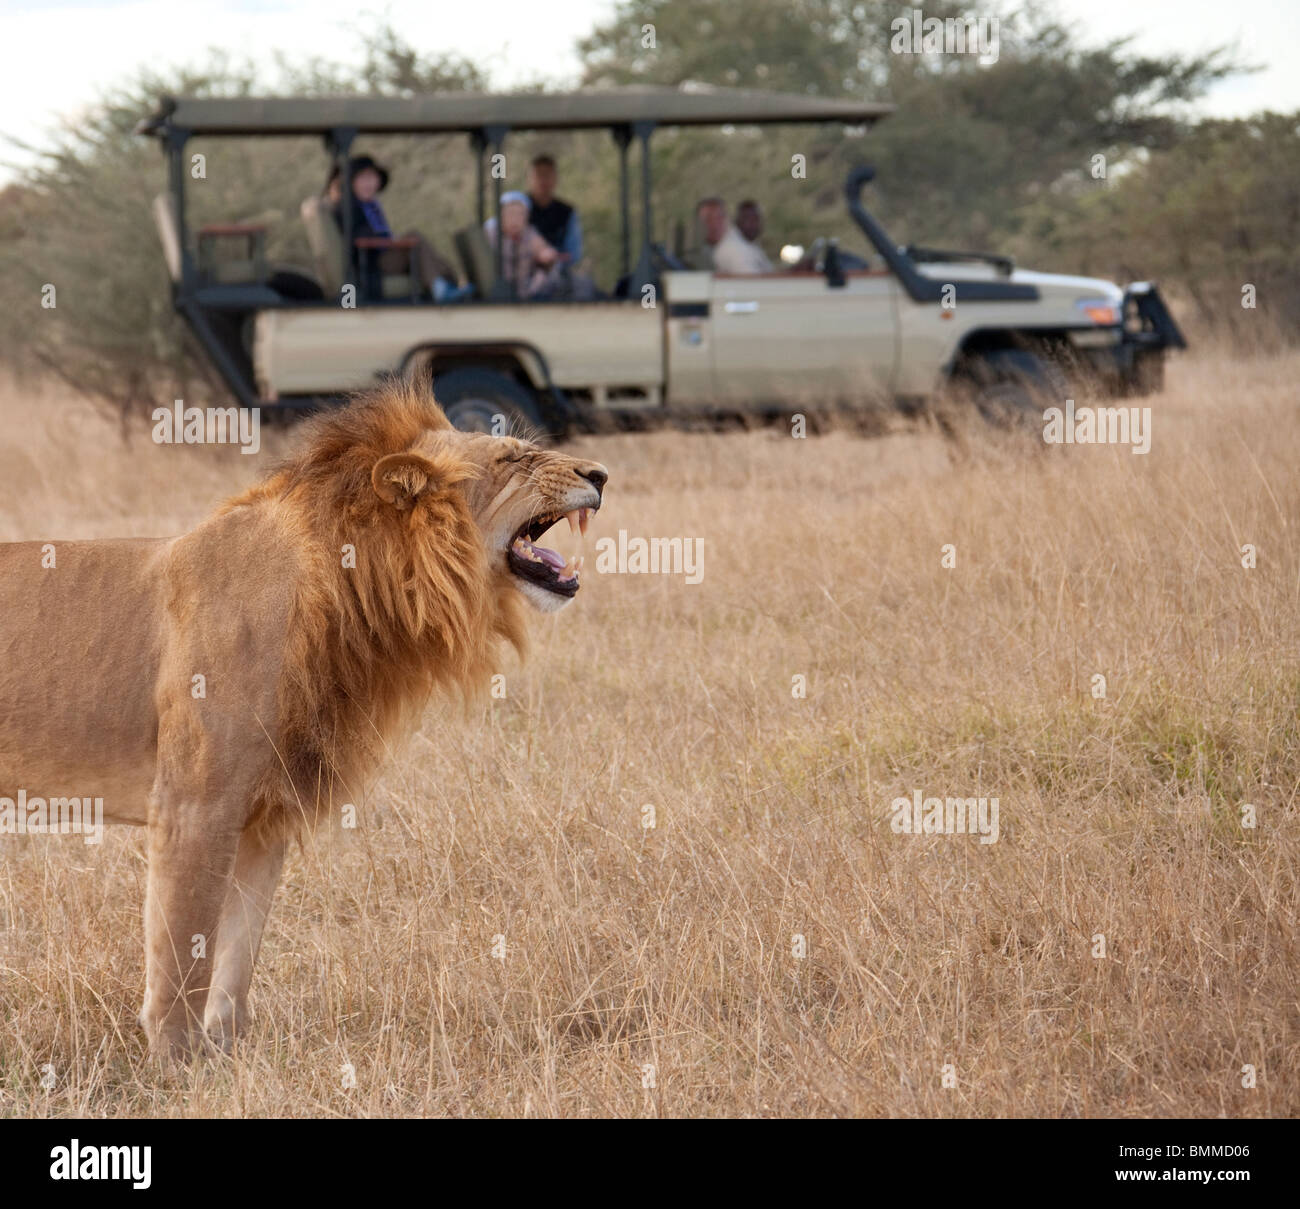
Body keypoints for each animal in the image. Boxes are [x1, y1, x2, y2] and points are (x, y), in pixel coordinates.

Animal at [0, 381, 608, 1060]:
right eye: (512, 458)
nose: (601, 474)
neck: (351, 591)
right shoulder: (193, 805)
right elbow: (183, 950)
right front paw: (174, 1060)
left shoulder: (264, 817)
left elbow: (237, 949)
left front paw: (227, 1052)